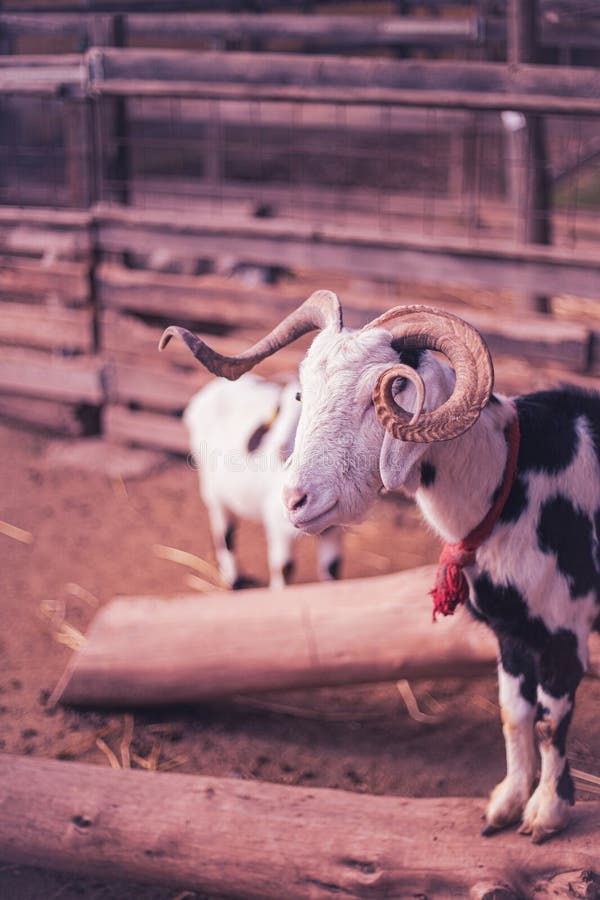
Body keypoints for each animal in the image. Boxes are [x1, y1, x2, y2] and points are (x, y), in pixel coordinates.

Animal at [184, 373, 343, 590]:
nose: (282, 451)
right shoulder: (277, 522)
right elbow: (284, 567)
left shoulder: (334, 530)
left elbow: (333, 568)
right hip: (212, 491)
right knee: (224, 534)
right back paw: (233, 579)